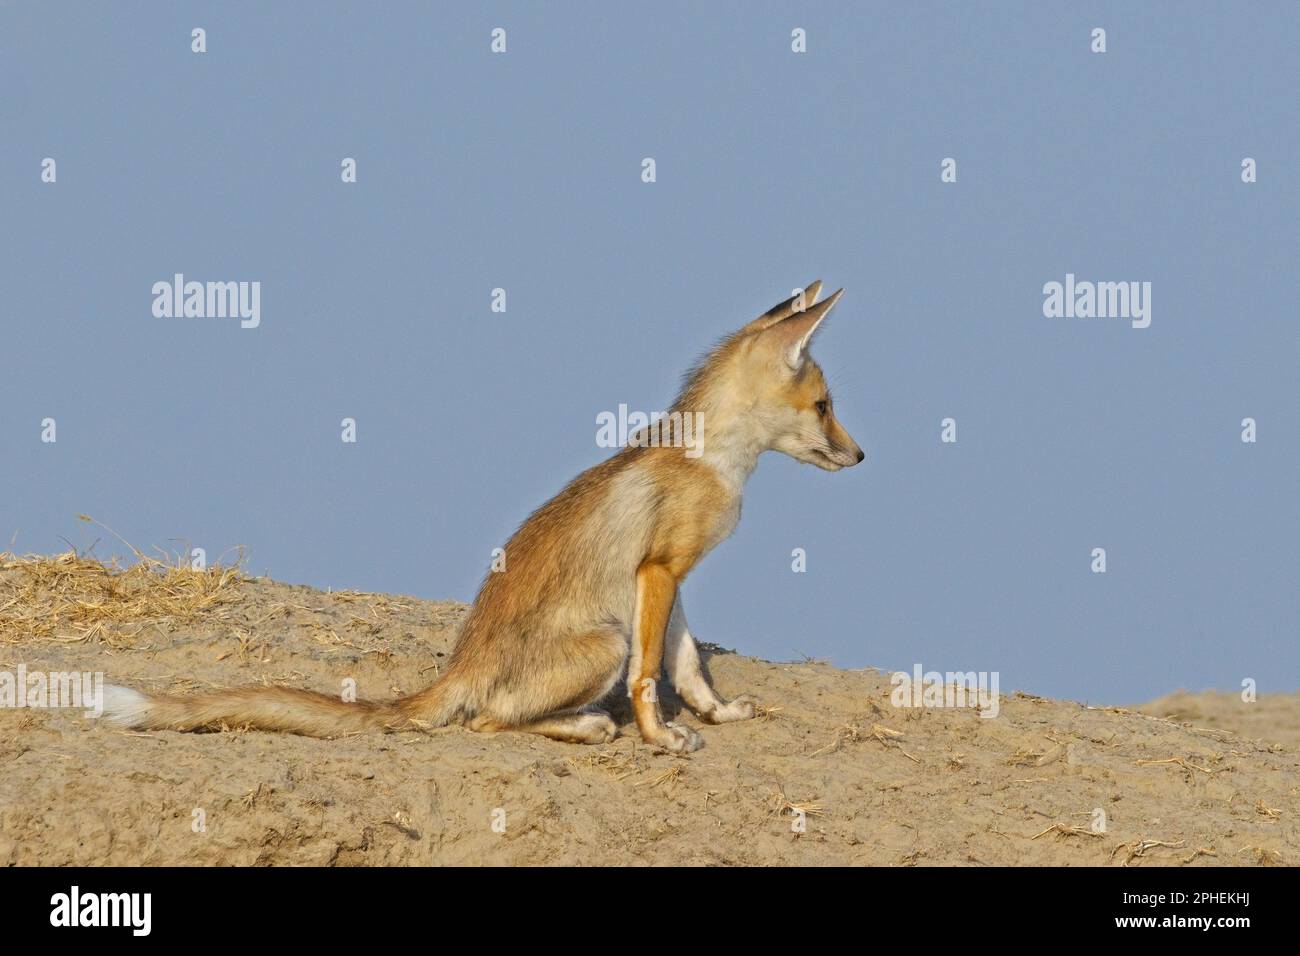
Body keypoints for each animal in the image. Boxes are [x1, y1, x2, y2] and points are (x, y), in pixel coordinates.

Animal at [100, 281, 864, 752]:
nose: (861, 455)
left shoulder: (672, 577)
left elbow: (688, 667)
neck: (711, 460)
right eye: (825, 406)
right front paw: (660, 739)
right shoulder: (656, 572)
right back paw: (588, 728)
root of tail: (458, 668)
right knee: (487, 722)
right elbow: (652, 677)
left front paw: (716, 714)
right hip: (604, 644)